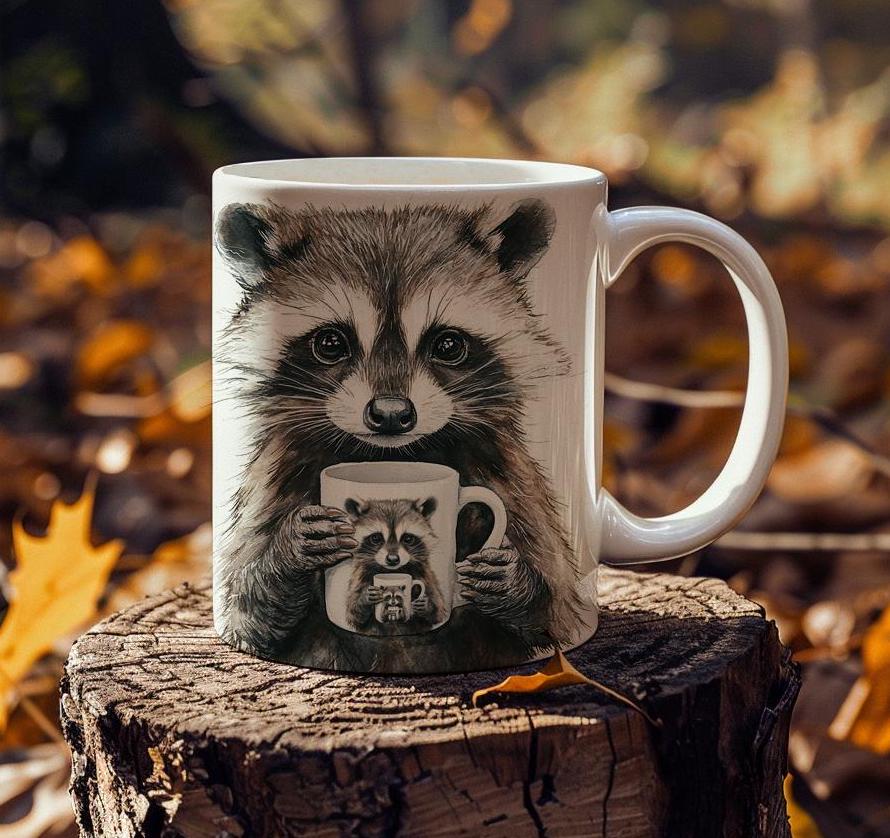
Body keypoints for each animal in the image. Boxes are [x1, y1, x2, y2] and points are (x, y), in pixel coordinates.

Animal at [344, 498, 445, 636]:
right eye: (376, 538)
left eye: (408, 538)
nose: (392, 559)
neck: (392, 571)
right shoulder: (359, 576)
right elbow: (353, 613)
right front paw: (364, 598)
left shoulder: (426, 576)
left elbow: (438, 611)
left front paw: (427, 605)